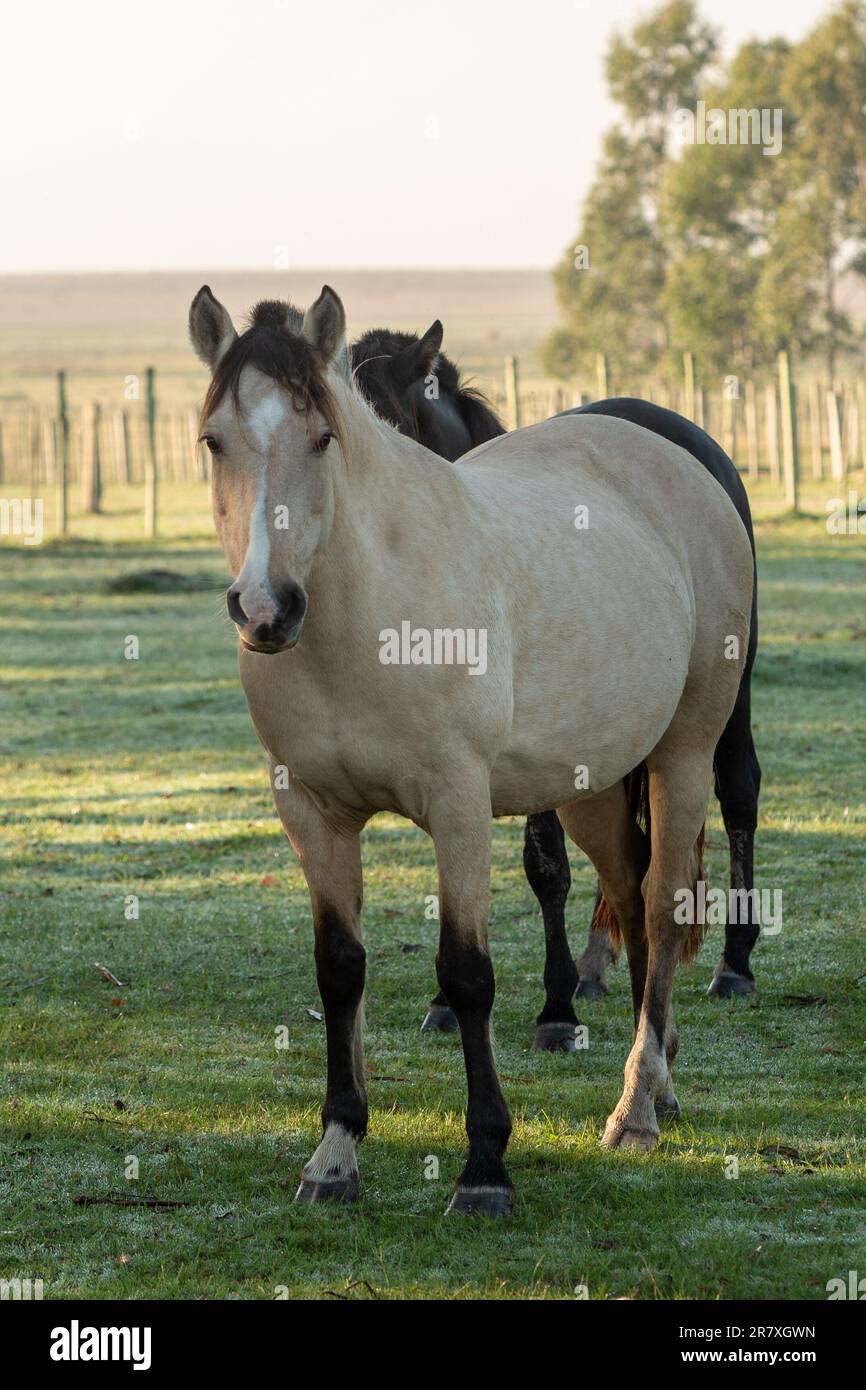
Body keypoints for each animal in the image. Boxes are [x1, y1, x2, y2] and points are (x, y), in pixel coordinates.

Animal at [352, 328, 762, 1049]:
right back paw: (599, 965)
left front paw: (555, 1008)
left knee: (738, 788)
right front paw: (447, 999)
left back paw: (733, 962)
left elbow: (545, 864)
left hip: (726, 694)